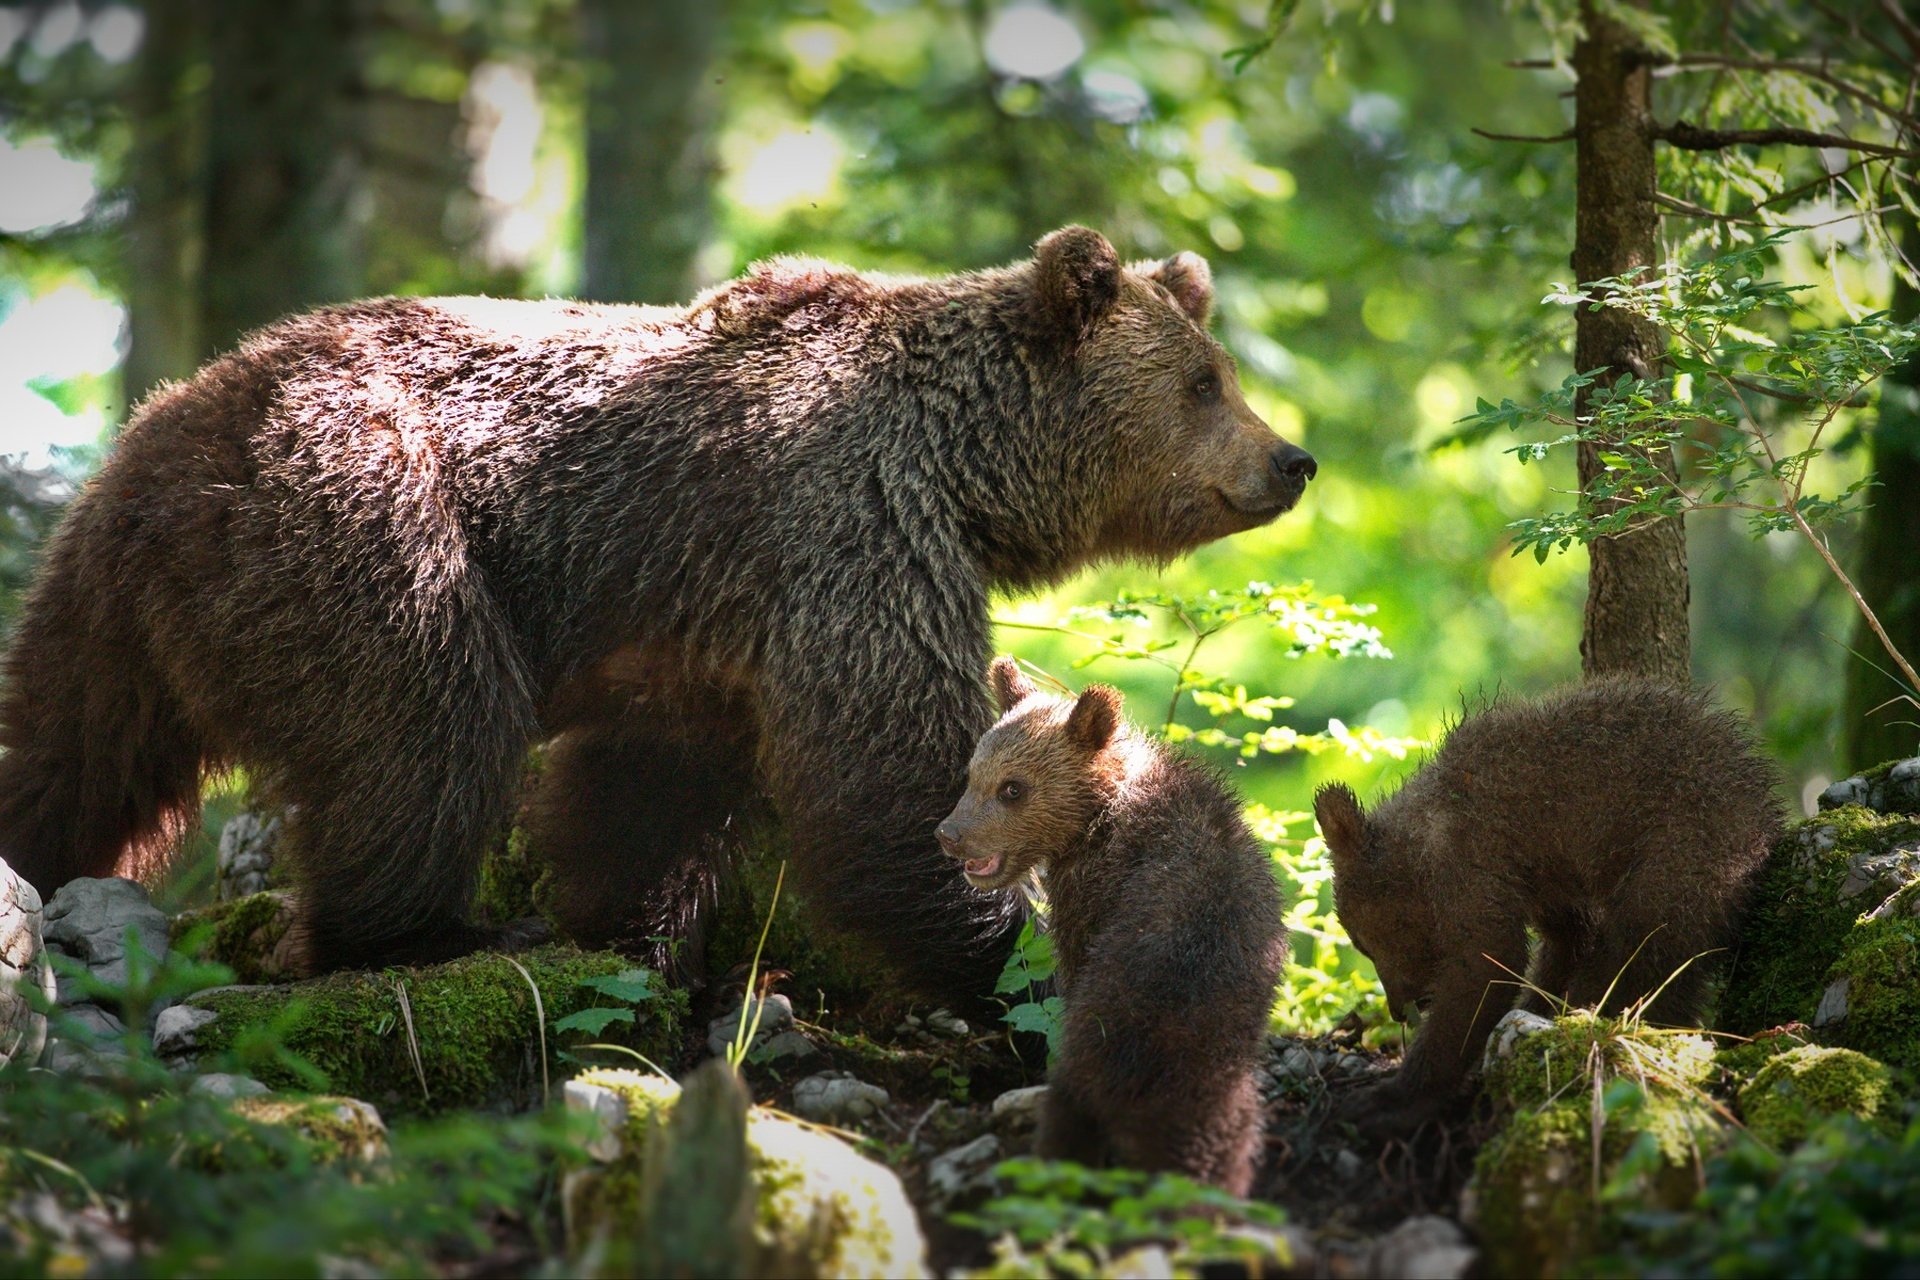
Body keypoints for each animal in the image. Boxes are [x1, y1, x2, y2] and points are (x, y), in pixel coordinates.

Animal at [0, 226, 1316, 1005]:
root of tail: (177, 438)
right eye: (1205, 380)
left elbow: (650, 788)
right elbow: (883, 764)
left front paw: (629, 934)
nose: (1292, 458)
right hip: (366, 517)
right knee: (424, 733)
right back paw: (419, 933)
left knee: (72, 750)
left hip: (104, 596)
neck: (965, 465)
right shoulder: (845, 523)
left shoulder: (701, 623)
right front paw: (1003, 947)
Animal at [1313, 677, 1785, 1131]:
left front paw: (1393, 1100)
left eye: (1362, 942)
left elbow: (1486, 965)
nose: (1399, 1007)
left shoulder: (1467, 863)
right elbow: (1565, 943)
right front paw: (1537, 1011)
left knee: (1650, 950)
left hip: (1688, 846)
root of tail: (1763, 808)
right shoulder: (1543, 880)